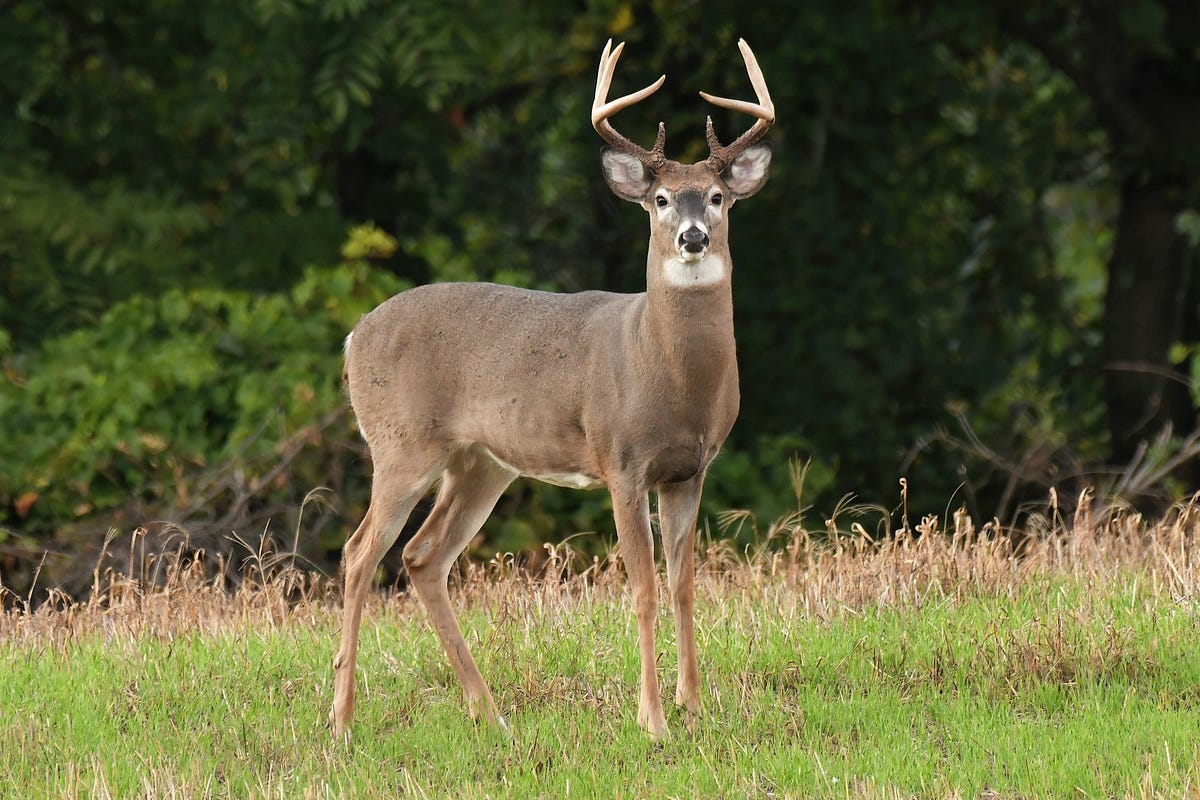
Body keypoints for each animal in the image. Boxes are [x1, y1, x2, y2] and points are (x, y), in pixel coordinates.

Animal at [330, 37, 774, 740]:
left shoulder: (690, 469)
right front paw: (653, 720)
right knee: (358, 554)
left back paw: (490, 714)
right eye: (661, 200)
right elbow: (643, 589)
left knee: (423, 555)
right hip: (401, 445)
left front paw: (694, 706)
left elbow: (684, 585)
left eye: (717, 197)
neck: (669, 376)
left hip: (480, 461)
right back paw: (343, 721)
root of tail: (353, 338)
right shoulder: (622, 459)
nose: (693, 237)